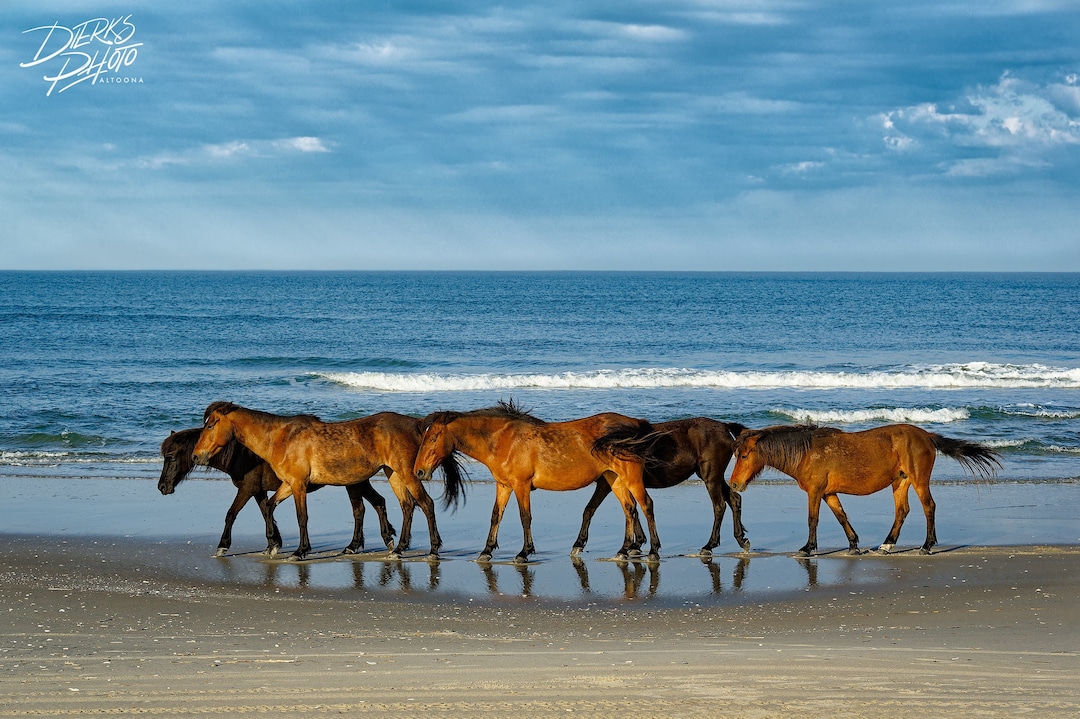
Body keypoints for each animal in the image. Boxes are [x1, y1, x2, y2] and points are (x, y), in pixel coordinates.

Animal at [159, 428, 397, 557]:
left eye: (171, 456)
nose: (162, 487)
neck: (242, 455)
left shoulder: (247, 488)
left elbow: (231, 514)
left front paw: (223, 546)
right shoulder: (258, 491)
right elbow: (266, 512)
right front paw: (273, 543)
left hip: (355, 484)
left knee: (364, 509)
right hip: (357, 484)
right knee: (375, 504)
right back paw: (367, 543)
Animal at [192, 402, 464, 560]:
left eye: (211, 424)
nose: (196, 455)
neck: (280, 438)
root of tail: (416, 424)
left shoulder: (299, 484)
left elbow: (302, 517)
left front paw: (300, 551)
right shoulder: (288, 484)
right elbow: (269, 507)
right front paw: (273, 544)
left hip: (406, 473)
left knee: (426, 504)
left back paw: (433, 549)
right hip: (393, 473)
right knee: (407, 506)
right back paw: (397, 548)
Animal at [413, 400, 667, 563]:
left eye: (433, 437)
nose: (419, 471)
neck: (503, 440)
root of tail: (634, 423)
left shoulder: (521, 485)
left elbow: (525, 517)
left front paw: (524, 553)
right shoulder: (504, 486)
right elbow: (496, 516)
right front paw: (486, 551)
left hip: (630, 478)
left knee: (646, 506)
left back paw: (653, 551)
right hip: (613, 478)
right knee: (629, 509)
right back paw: (623, 550)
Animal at [571, 418, 750, 557]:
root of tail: (724, 426)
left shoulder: (607, 484)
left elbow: (592, 509)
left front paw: (579, 543)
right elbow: (633, 509)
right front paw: (637, 544)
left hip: (711, 477)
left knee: (719, 506)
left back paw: (709, 545)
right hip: (712, 476)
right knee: (734, 499)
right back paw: (741, 539)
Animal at [729, 423, 1002, 556]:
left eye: (743, 455)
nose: (733, 484)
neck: (807, 452)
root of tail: (926, 436)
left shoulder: (815, 491)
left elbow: (812, 519)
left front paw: (808, 549)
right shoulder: (828, 492)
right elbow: (841, 516)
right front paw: (853, 545)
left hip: (918, 480)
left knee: (928, 507)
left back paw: (926, 546)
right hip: (900, 482)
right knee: (902, 511)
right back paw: (887, 545)